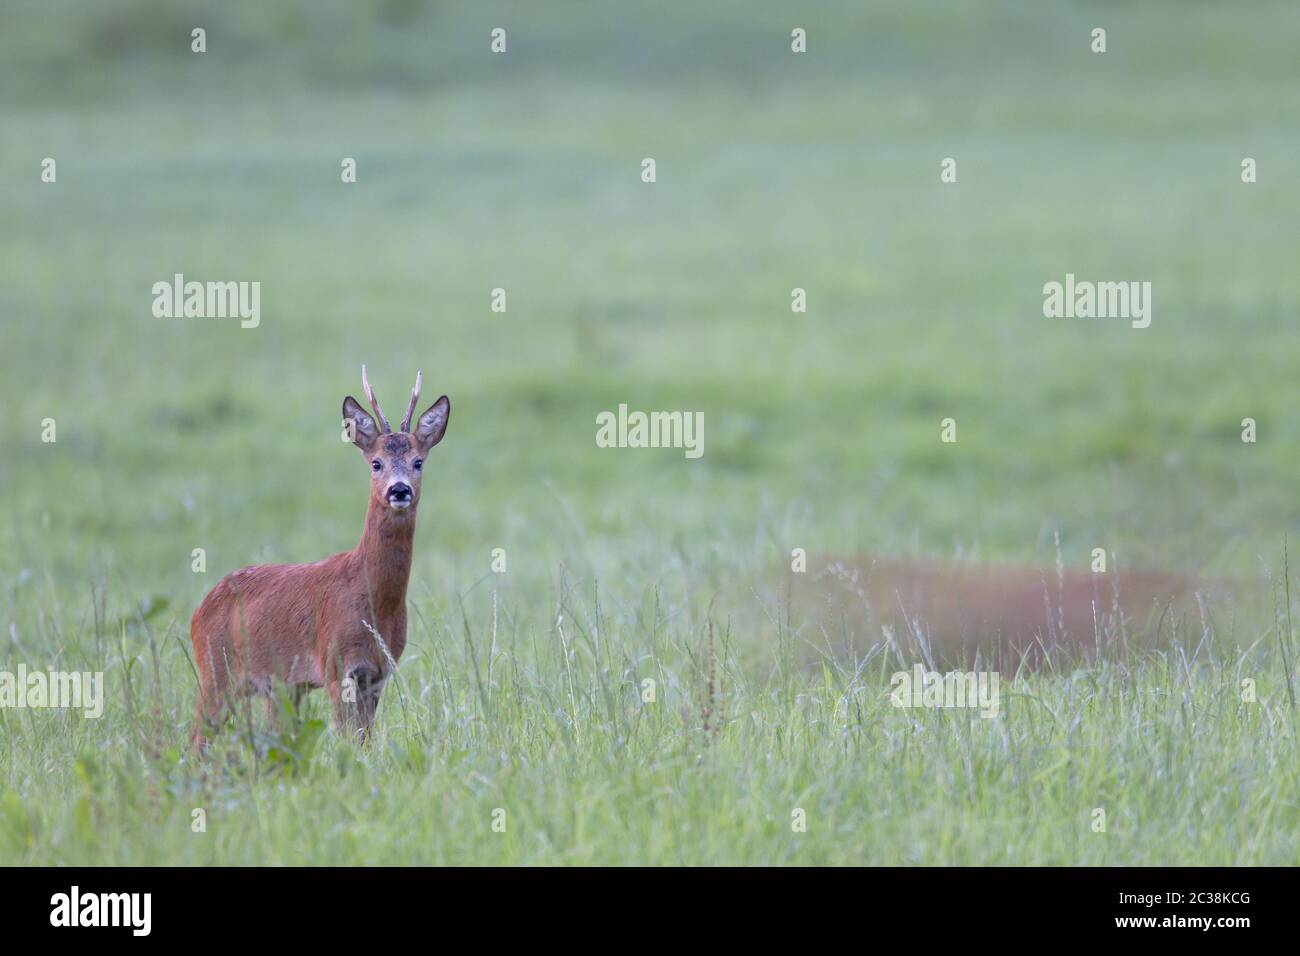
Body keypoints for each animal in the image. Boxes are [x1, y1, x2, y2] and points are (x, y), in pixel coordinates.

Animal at [188, 367, 450, 751]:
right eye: (376, 463)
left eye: (418, 461)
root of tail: (200, 608)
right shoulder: (335, 665)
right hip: (215, 670)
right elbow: (346, 739)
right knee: (196, 740)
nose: (399, 489)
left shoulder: (378, 673)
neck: (373, 602)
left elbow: (364, 741)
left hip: (280, 686)